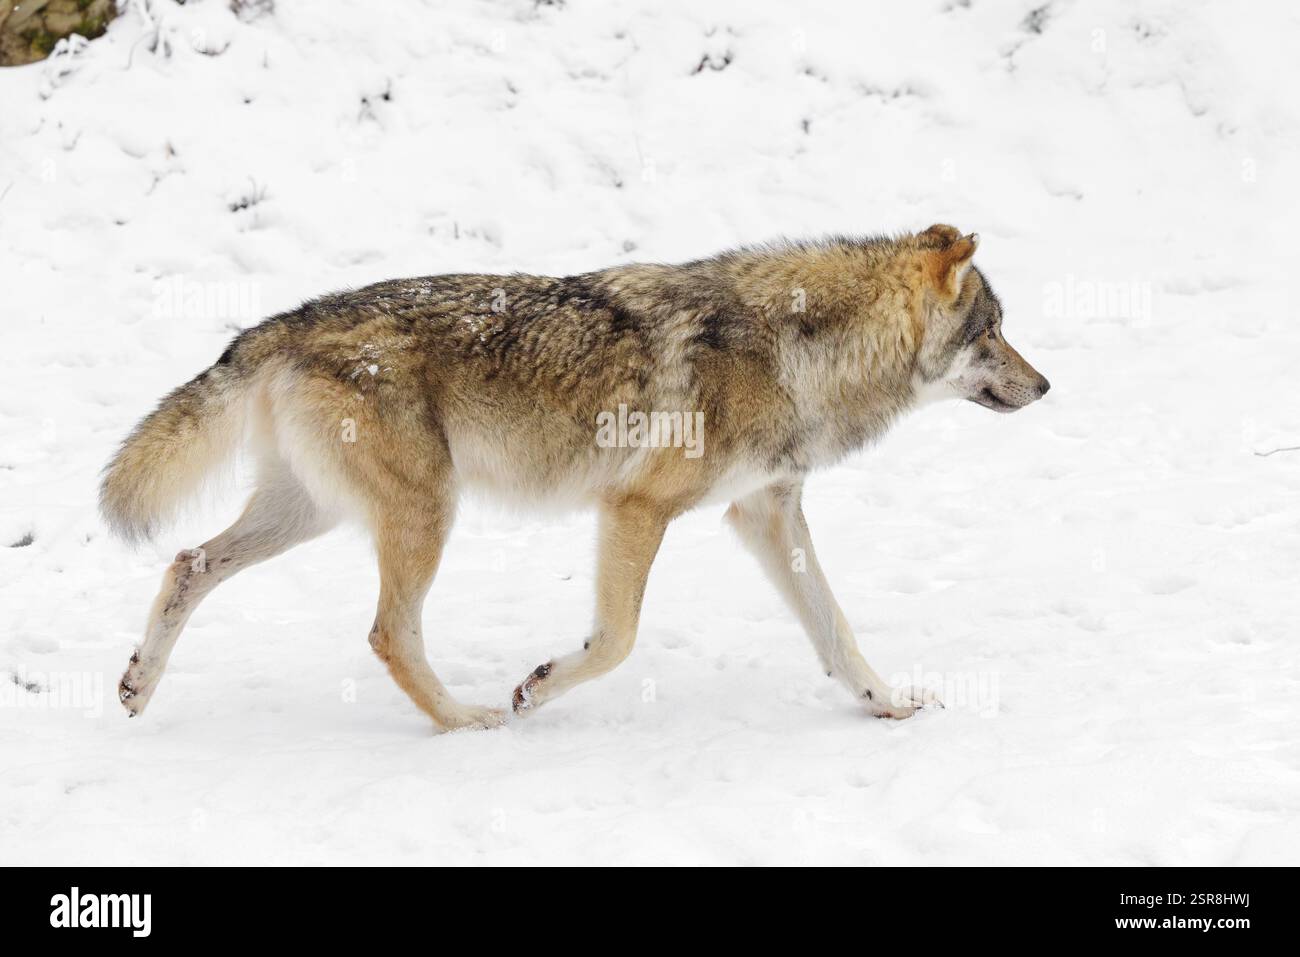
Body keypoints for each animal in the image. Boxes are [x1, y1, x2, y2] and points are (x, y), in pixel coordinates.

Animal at [100, 224, 1049, 731]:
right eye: (994, 331)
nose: (1046, 386)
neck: (802, 351)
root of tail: (277, 325)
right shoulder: (636, 506)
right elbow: (617, 639)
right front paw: (538, 685)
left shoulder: (765, 513)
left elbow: (836, 631)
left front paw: (888, 704)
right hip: (423, 513)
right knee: (385, 631)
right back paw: (468, 722)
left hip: (312, 514)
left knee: (186, 562)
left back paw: (138, 684)